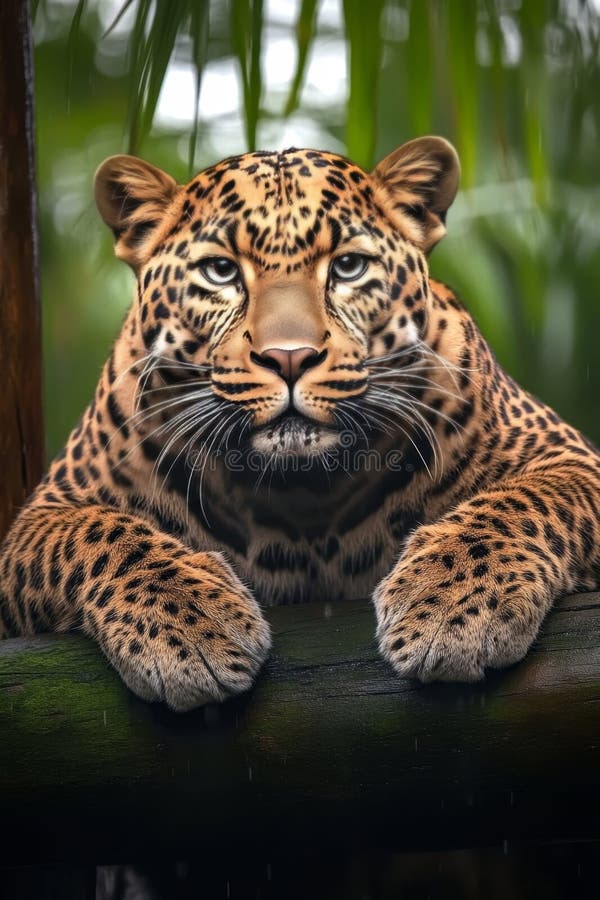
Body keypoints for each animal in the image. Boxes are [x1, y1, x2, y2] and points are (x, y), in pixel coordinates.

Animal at [1, 136, 598, 711]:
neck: (304, 493)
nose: (289, 358)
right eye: (221, 271)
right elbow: (103, 534)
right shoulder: (42, 515)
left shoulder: (570, 457)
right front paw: (187, 625)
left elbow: (520, 503)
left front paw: (453, 604)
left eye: (348, 266)